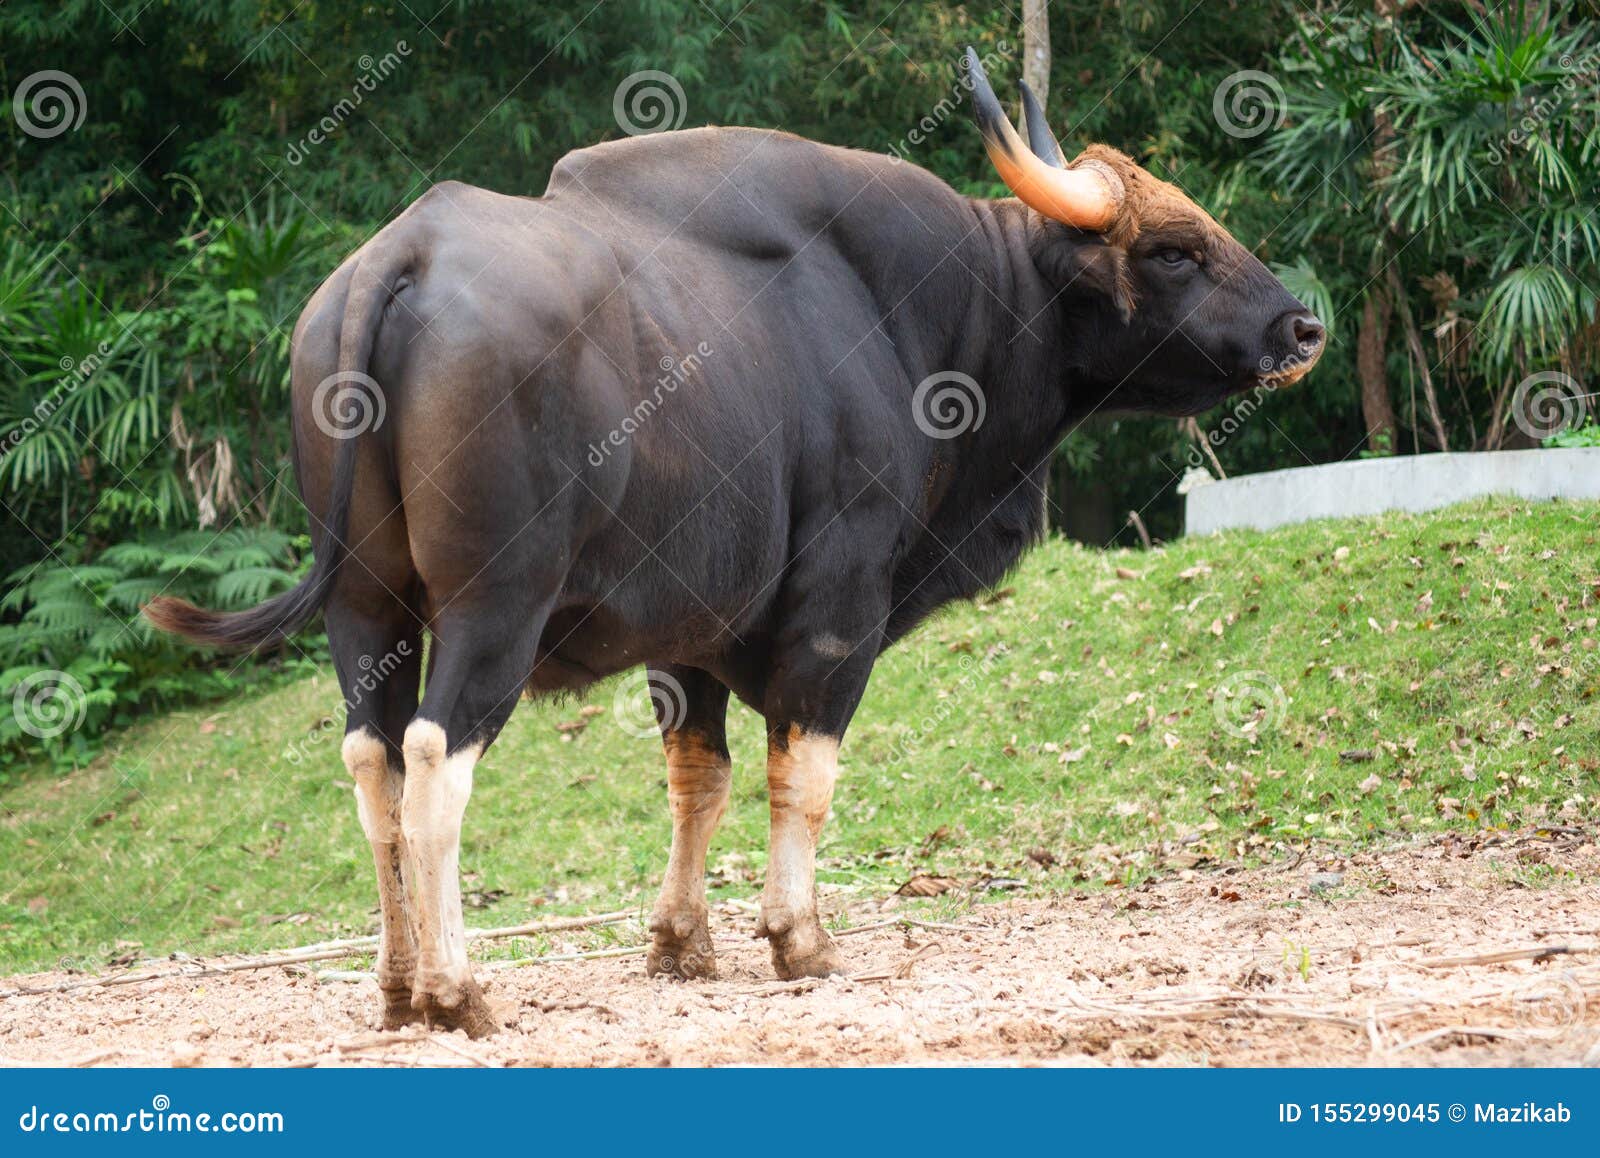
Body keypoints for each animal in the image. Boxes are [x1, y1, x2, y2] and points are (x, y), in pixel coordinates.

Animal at [145, 48, 1323, 1038]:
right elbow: (802, 772)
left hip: (367, 608)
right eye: (1172, 250)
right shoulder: (838, 607)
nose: (1300, 326)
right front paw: (798, 939)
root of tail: (398, 261)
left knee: (373, 761)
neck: (925, 313)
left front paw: (681, 943)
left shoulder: (690, 630)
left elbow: (696, 777)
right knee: (437, 757)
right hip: (496, 603)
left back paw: (394, 989)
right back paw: (456, 990)